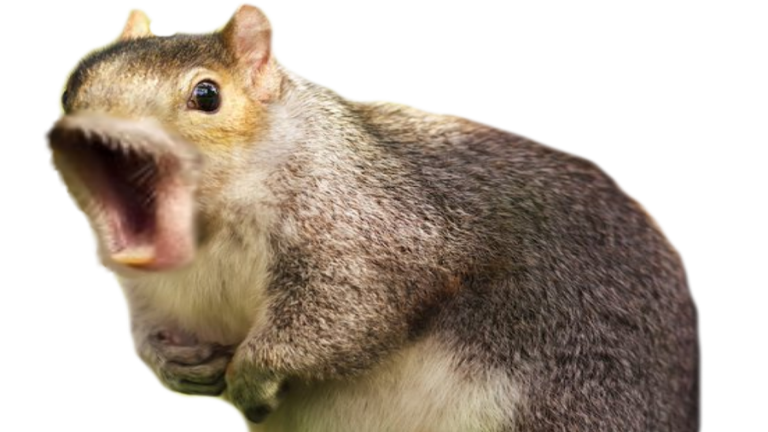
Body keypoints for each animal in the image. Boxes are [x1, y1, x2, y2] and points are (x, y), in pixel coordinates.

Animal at [45, 2, 702, 432]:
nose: (81, 129)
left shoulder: (369, 225)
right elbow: (148, 327)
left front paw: (251, 376)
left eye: (206, 95)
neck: (208, 234)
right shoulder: (150, 288)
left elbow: (350, 311)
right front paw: (170, 363)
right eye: (75, 81)